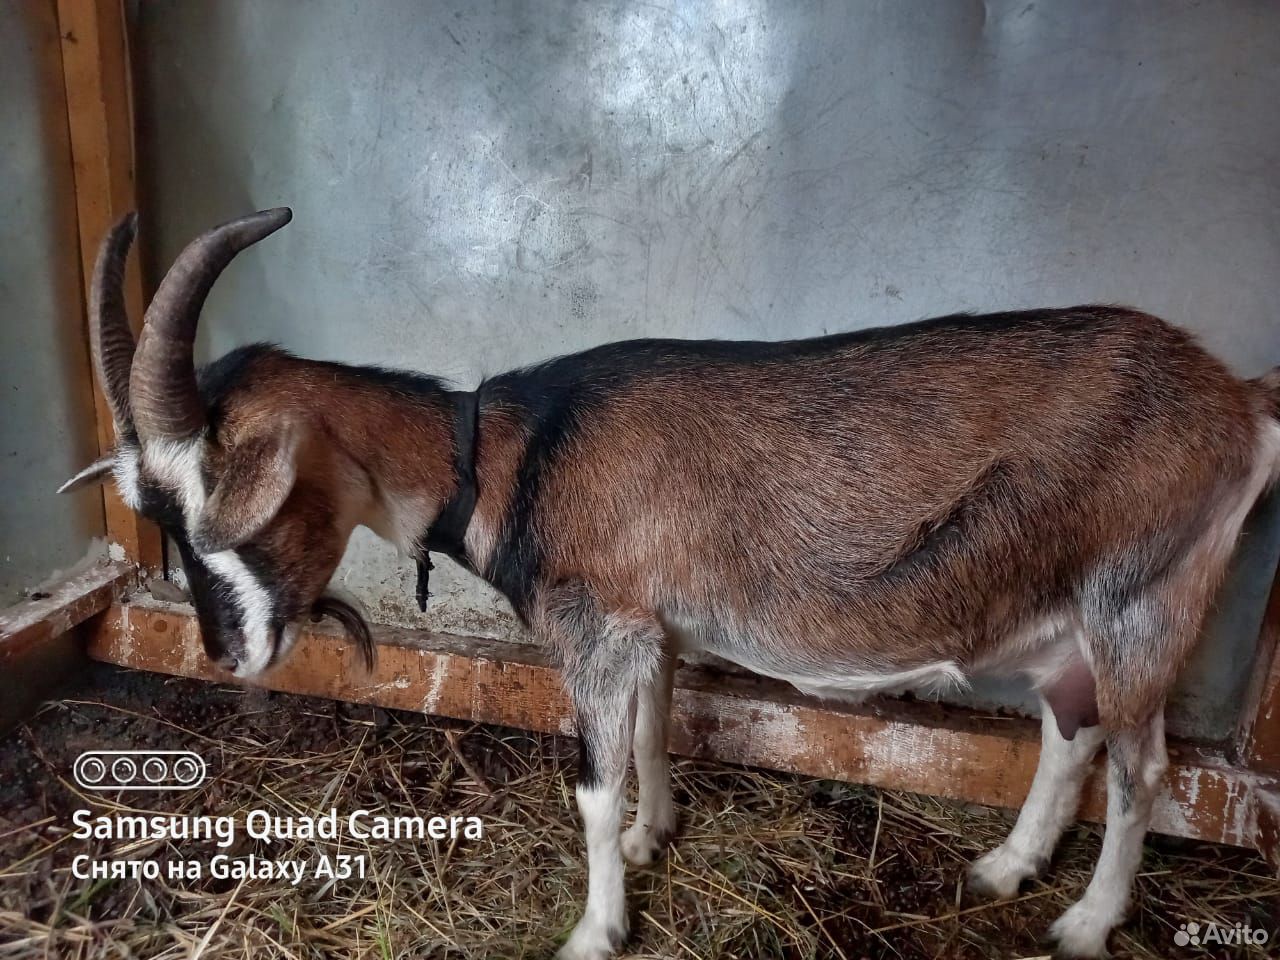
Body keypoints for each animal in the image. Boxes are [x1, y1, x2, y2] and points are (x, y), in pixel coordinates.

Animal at [64, 208, 1280, 959]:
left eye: (224, 501)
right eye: (157, 516)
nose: (228, 654)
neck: (504, 454)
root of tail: (1237, 402)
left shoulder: (595, 627)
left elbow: (594, 784)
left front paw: (593, 930)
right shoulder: (646, 623)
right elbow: (653, 730)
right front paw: (656, 839)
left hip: (1143, 596)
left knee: (1143, 768)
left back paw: (1082, 925)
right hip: (1069, 616)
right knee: (1073, 732)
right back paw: (1005, 868)